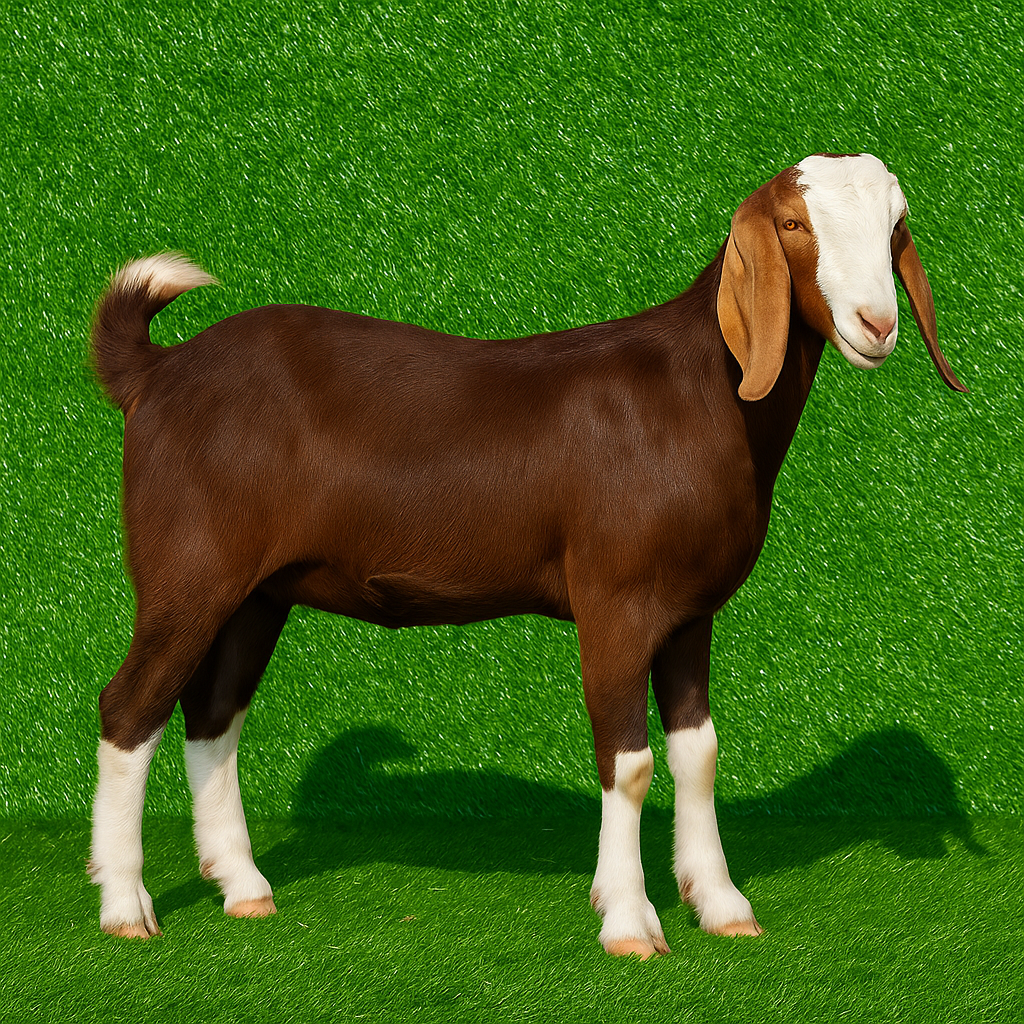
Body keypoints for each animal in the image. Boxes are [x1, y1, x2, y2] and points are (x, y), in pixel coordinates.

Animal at [88, 153, 965, 957]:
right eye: (792, 225)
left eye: (895, 225)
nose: (876, 324)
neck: (704, 394)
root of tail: (156, 373)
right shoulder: (614, 596)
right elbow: (630, 760)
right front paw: (629, 921)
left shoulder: (690, 611)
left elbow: (698, 753)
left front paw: (720, 904)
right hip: (188, 568)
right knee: (130, 707)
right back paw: (126, 906)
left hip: (257, 592)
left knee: (213, 714)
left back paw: (242, 886)